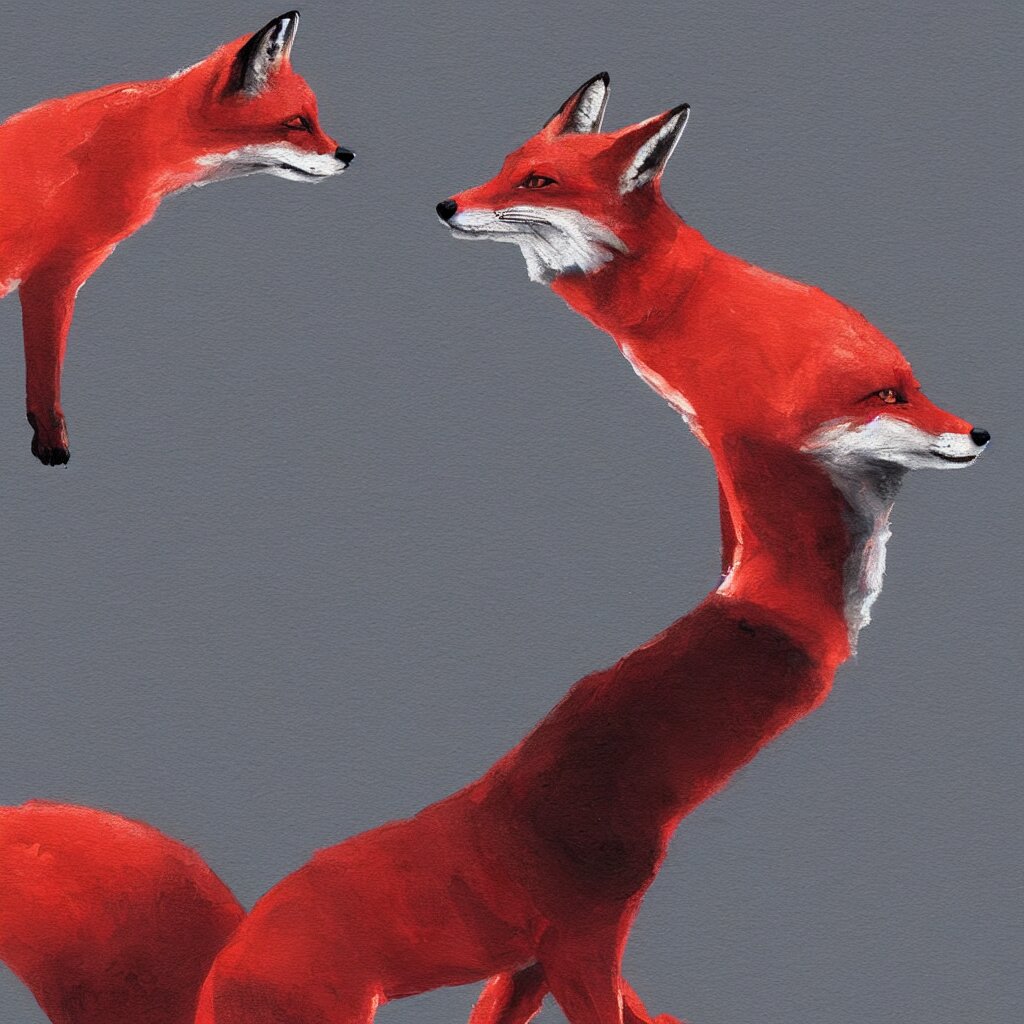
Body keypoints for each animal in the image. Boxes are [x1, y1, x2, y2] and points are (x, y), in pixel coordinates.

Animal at [0, 10, 353, 466]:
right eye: (296, 122)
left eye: (315, 117)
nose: (348, 155)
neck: (129, 143)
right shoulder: (51, 279)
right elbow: (46, 381)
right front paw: (51, 445)